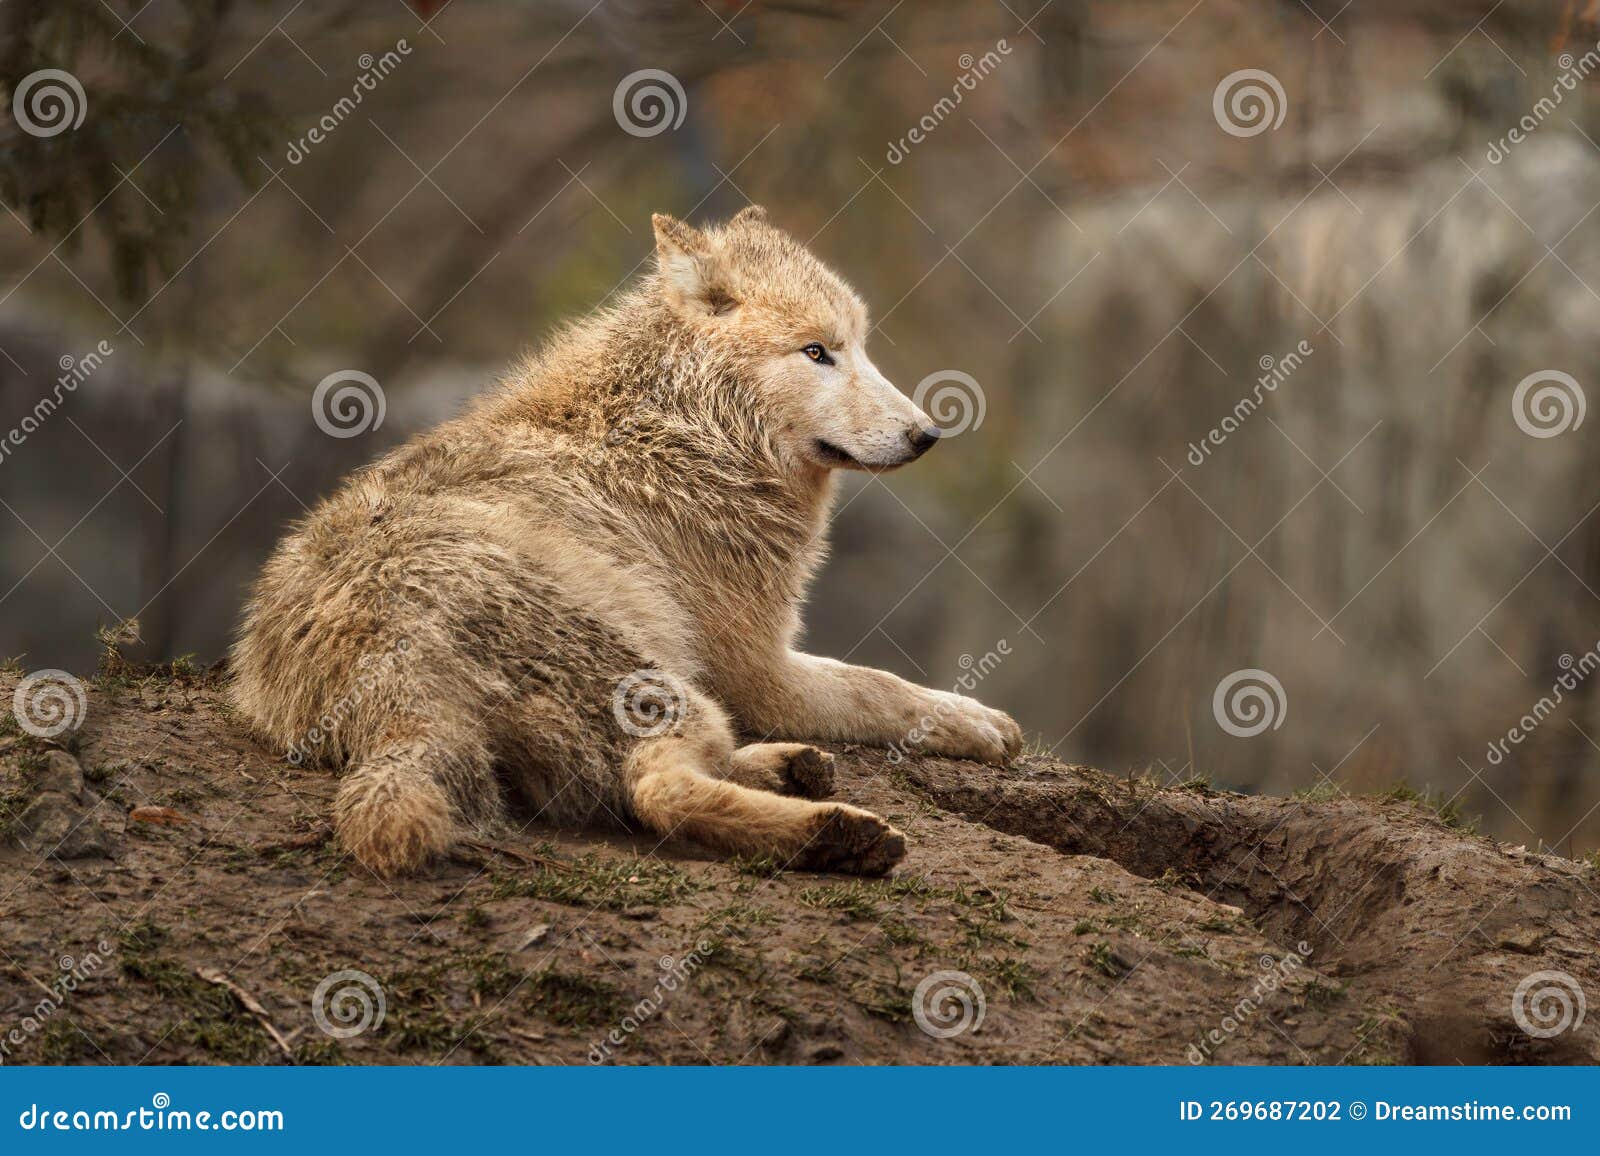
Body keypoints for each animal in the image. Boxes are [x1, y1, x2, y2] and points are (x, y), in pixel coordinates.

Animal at [230, 206, 1021, 877]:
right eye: (817, 353)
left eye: (858, 347)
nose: (927, 433)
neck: (693, 431)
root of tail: (385, 674)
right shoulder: (761, 669)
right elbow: (877, 685)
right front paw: (979, 722)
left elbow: (870, 682)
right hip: (655, 682)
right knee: (655, 791)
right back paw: (838, 834)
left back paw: (794, 770)